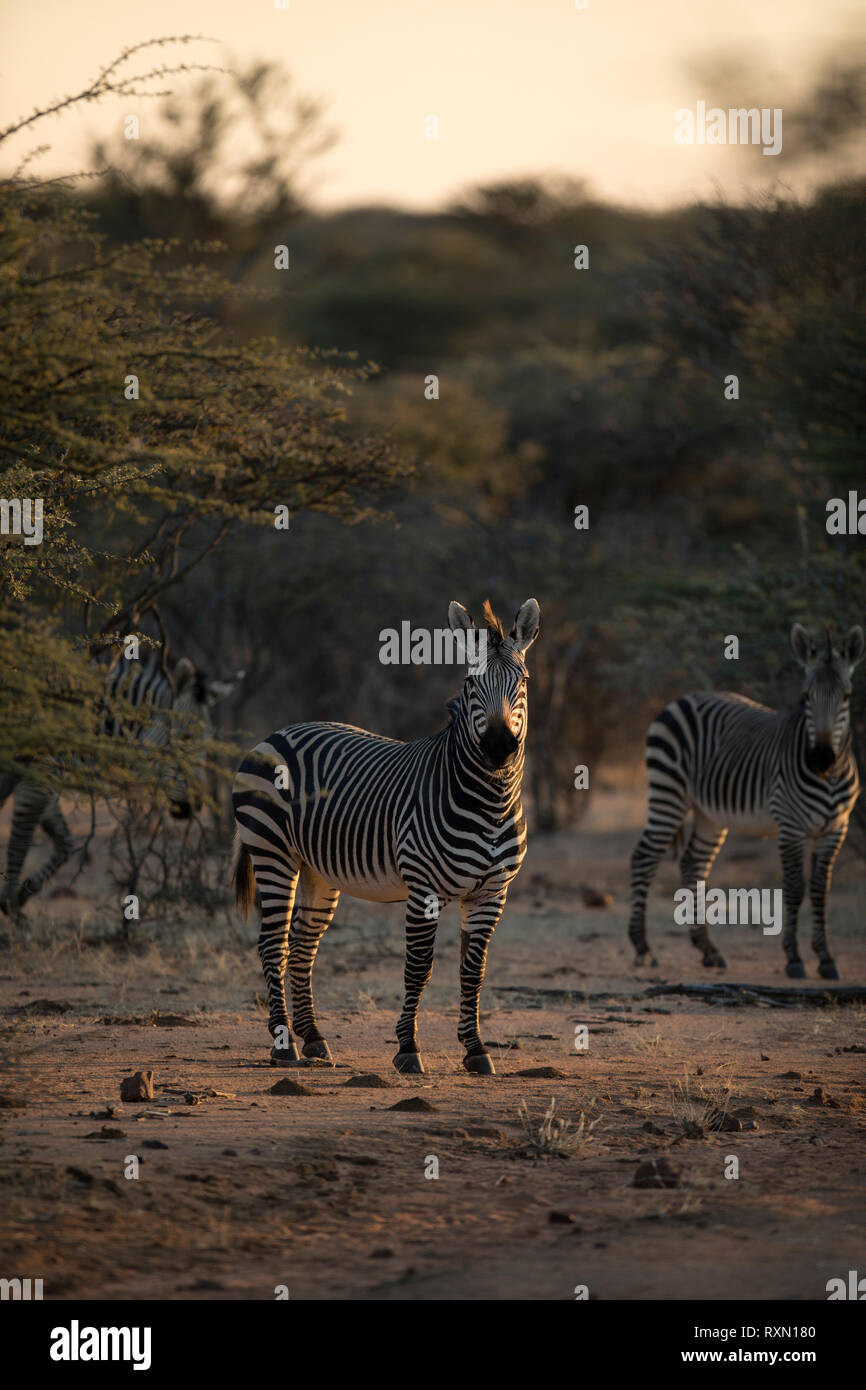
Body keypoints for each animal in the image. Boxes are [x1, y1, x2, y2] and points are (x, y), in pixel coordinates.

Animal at [0, 647, 238, 916]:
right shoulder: (38, 775)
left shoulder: (43, 778)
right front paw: (9, 903)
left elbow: (65, 842)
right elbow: (20, 841)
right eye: (186, 737)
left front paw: (23, 893)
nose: (195, 804)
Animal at [232, 597, 541, 1076]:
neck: (489, 801)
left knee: (302, 945)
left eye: (522, 681)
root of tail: (276, 733)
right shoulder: (424, 888)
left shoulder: (492, 892)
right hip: (272, 853)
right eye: (470, 683)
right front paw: (408, 1048)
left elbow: (473, 971)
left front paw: (475, 1049)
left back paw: (314, 1037)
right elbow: (419, 967)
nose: (498, 747)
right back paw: (284, 1044)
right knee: (272, 944)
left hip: (317, 869)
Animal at [628, 623, 863, 978]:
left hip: (709, 813)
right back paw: (642, 947)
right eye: (805, 697)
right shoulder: (790, 825)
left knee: (693, 864)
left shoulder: (837, 829)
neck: (829, 776)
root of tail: (683, 697)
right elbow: (794, 886)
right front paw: (793, 958)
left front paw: (825, 959)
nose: (821, 757)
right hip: (667, 792)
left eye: (847, 696)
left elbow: (820, 891)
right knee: (644, 857)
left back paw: (708, 950)